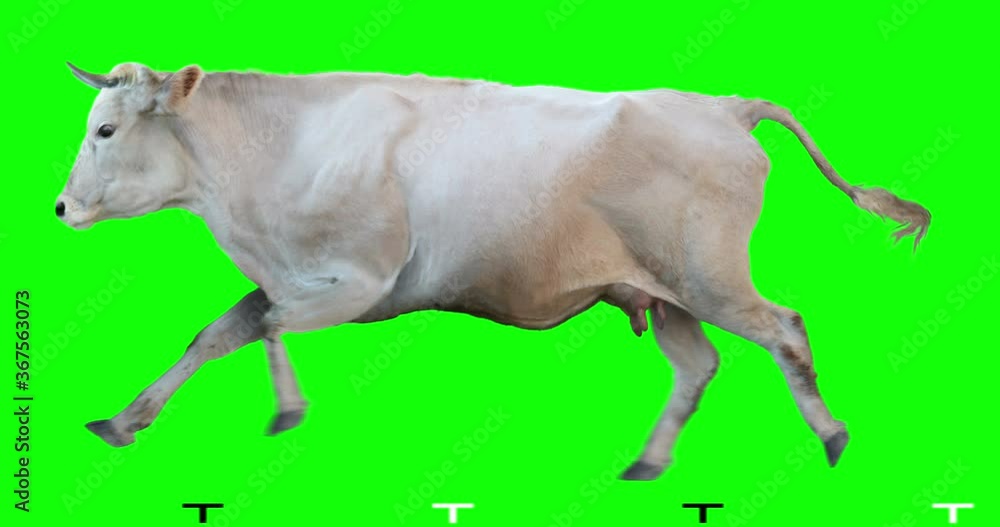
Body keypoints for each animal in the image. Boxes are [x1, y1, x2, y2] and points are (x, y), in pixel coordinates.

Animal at [56, 62, 929, 480]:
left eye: (105, 130)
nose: (61, 208)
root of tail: (723, 106)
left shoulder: (358, 281)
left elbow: (265, 326)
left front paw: (287, 410)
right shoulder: (291, 276)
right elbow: (217, 331)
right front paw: (124, 418)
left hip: (710, 277)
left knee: (786, 327)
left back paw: (833, 435)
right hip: (666, 290)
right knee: (698, 363)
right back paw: (648, 461)